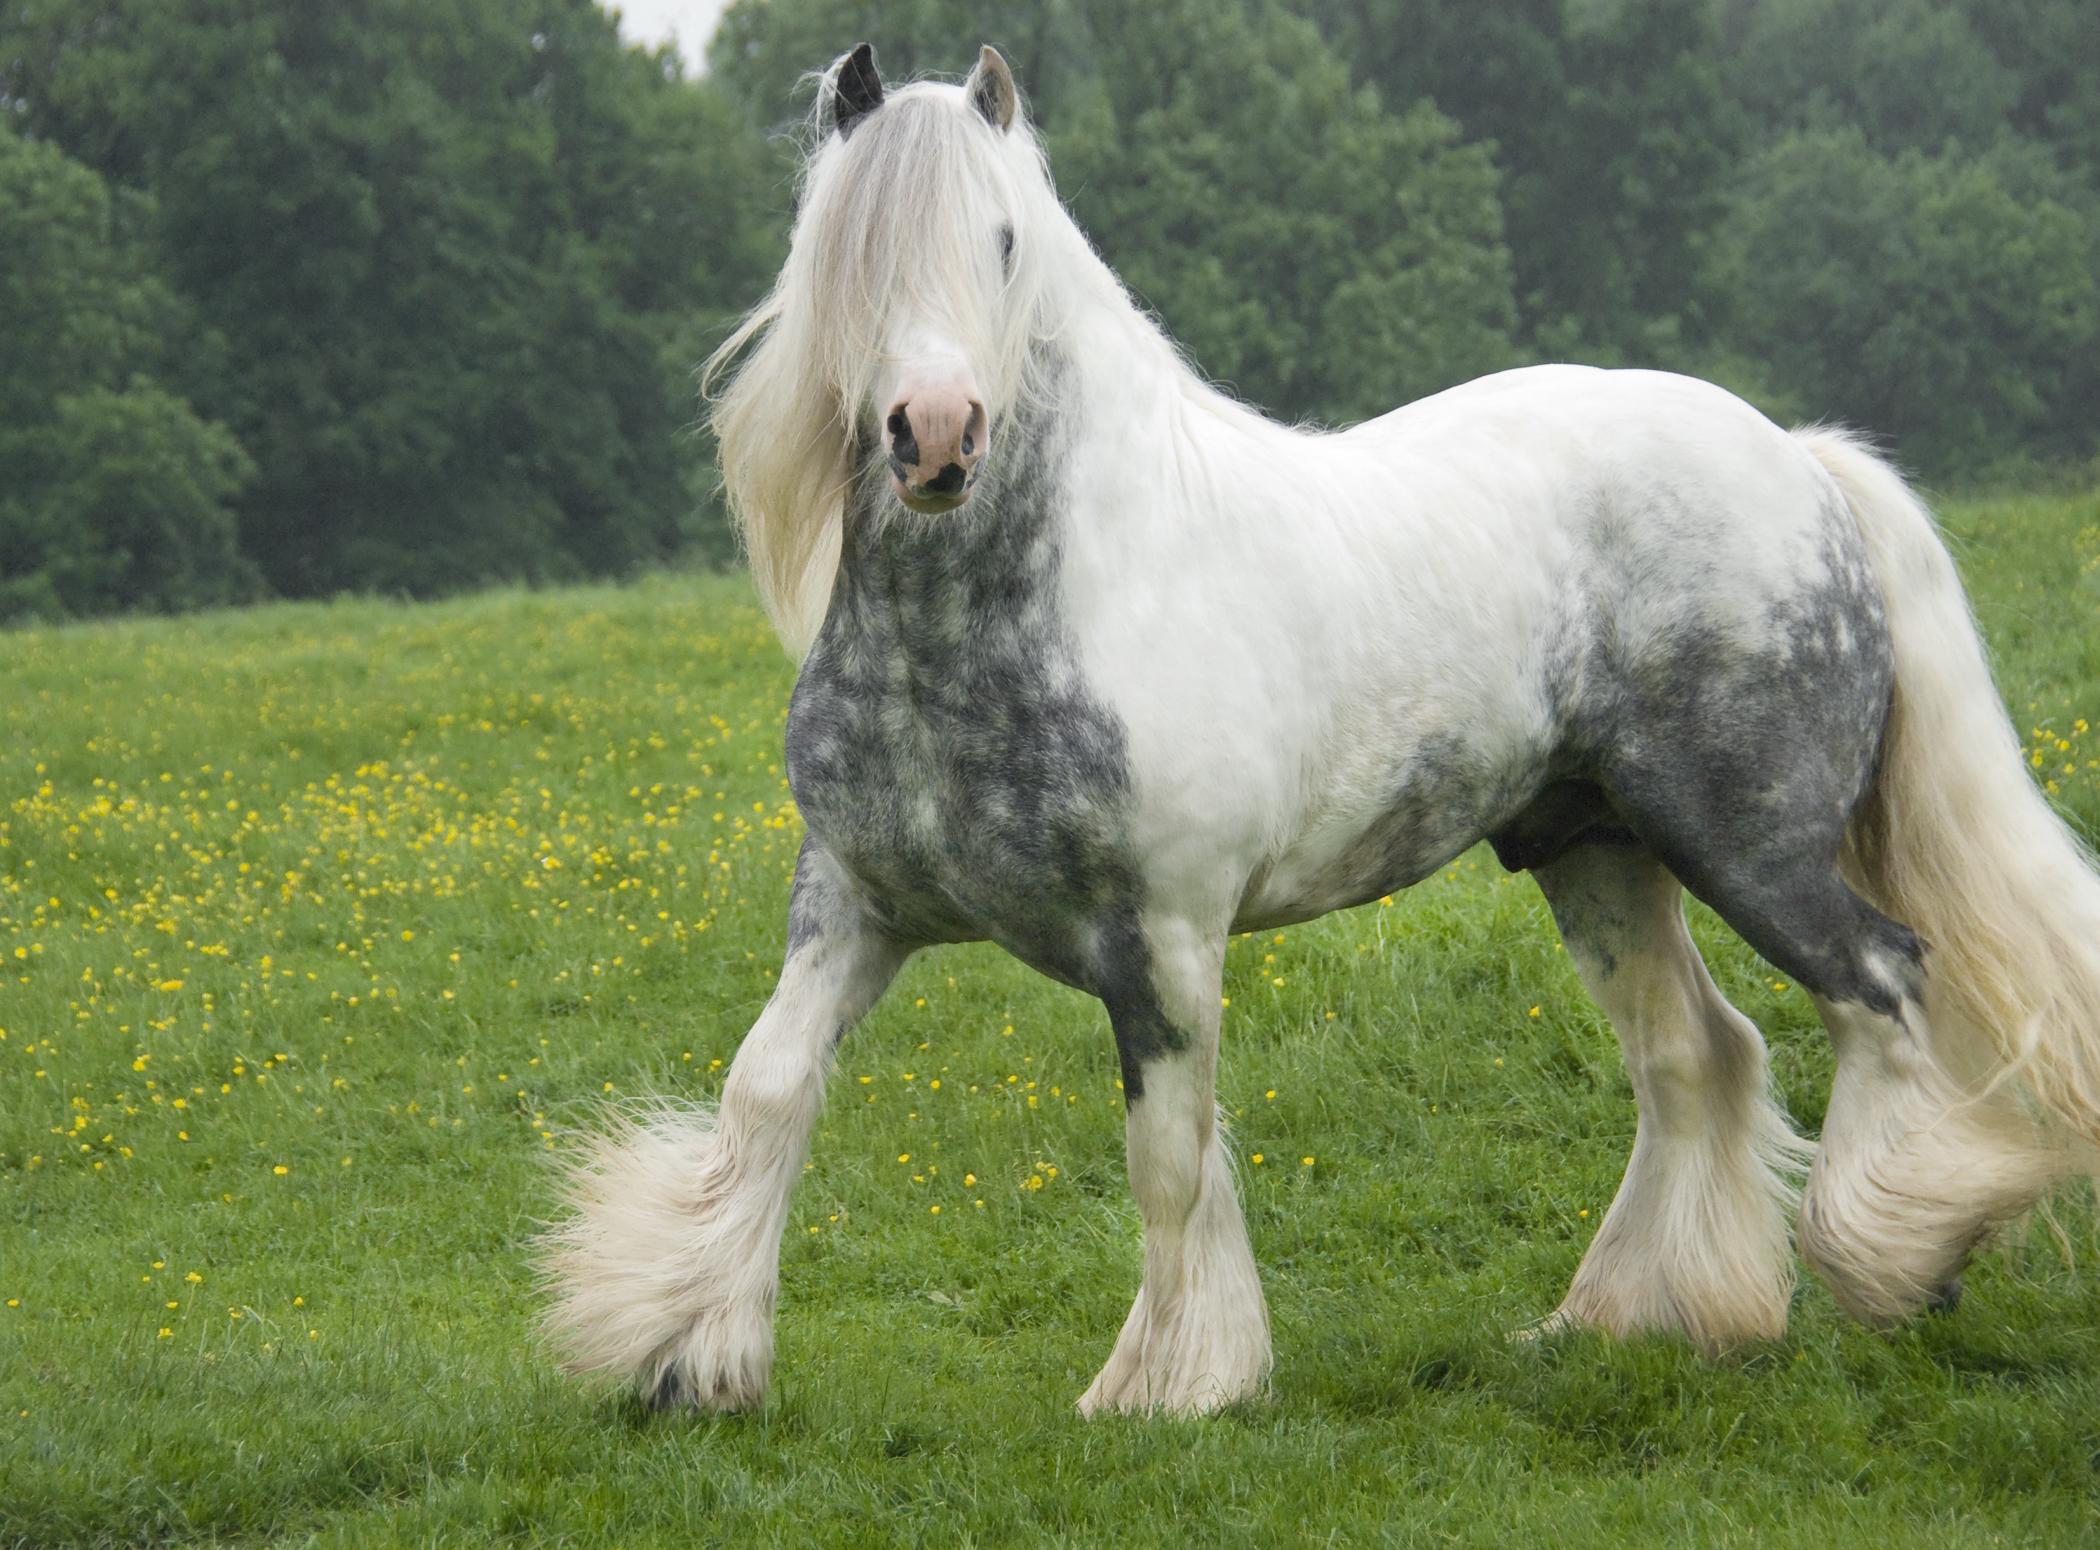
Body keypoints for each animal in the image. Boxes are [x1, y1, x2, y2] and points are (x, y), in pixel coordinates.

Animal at [539, 43, 2100, 1416]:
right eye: (846, 252)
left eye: (1000, 242)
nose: (934, 435)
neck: (1032, 605)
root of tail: (1801, 460)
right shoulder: (854, 907)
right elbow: (764, 1093)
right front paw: (691, 1359)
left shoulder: (1166, 941)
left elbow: (1168, 1162)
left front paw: (1165, 1388)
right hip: (1599, 851)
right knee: (1698, 1056)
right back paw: (1629, 1320)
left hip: (1749, 847)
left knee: (1881, 982)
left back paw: (1903, 1258)